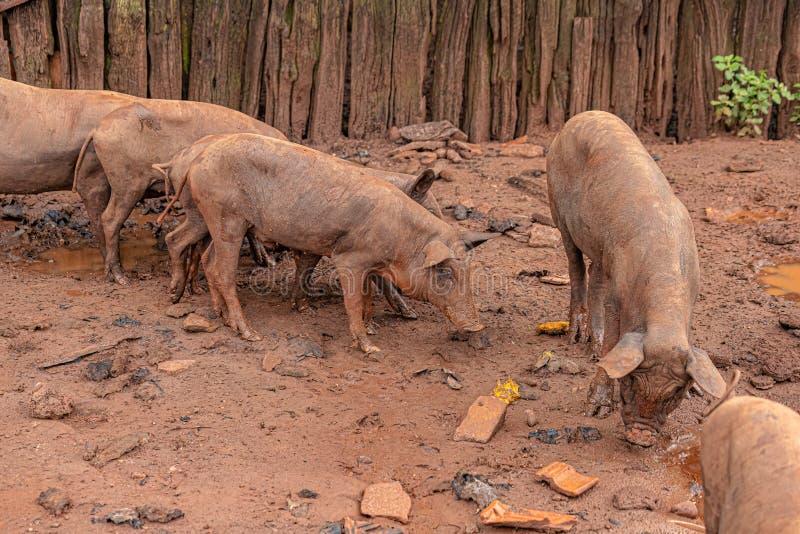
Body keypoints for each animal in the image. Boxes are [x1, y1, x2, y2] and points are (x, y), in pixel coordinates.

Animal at [72, 101, 286, 284]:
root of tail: (97, 129)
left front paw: (267, 262)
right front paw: (270, 262)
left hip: (107, 177)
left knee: (99, 213)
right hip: (127, 182)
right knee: (110, 219)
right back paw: (122, 278)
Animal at [161, 133, 487, 352]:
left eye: (468, 272)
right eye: (444, 271)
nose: (478, 325)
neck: (401, 241)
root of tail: (196, 159)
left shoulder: (369, 265)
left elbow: (367, 296)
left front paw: (374, 327)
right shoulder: (349, 259)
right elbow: (353, 300)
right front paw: (370, 347)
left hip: (212, 219)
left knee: (195, 252)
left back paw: (215, 313)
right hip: (226, 218)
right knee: (220, 270)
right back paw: (248, 333)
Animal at [546, 111, 725, 446]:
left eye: (675, 394)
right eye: (630, 382)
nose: (641, 437)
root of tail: (578, 117)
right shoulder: (617, 296)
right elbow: (612, 347)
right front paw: (595, 410)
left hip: (602, 248)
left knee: (595, 275)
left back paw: (591, 344)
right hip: (558, 210)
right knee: (575, 266)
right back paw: (576, 337)